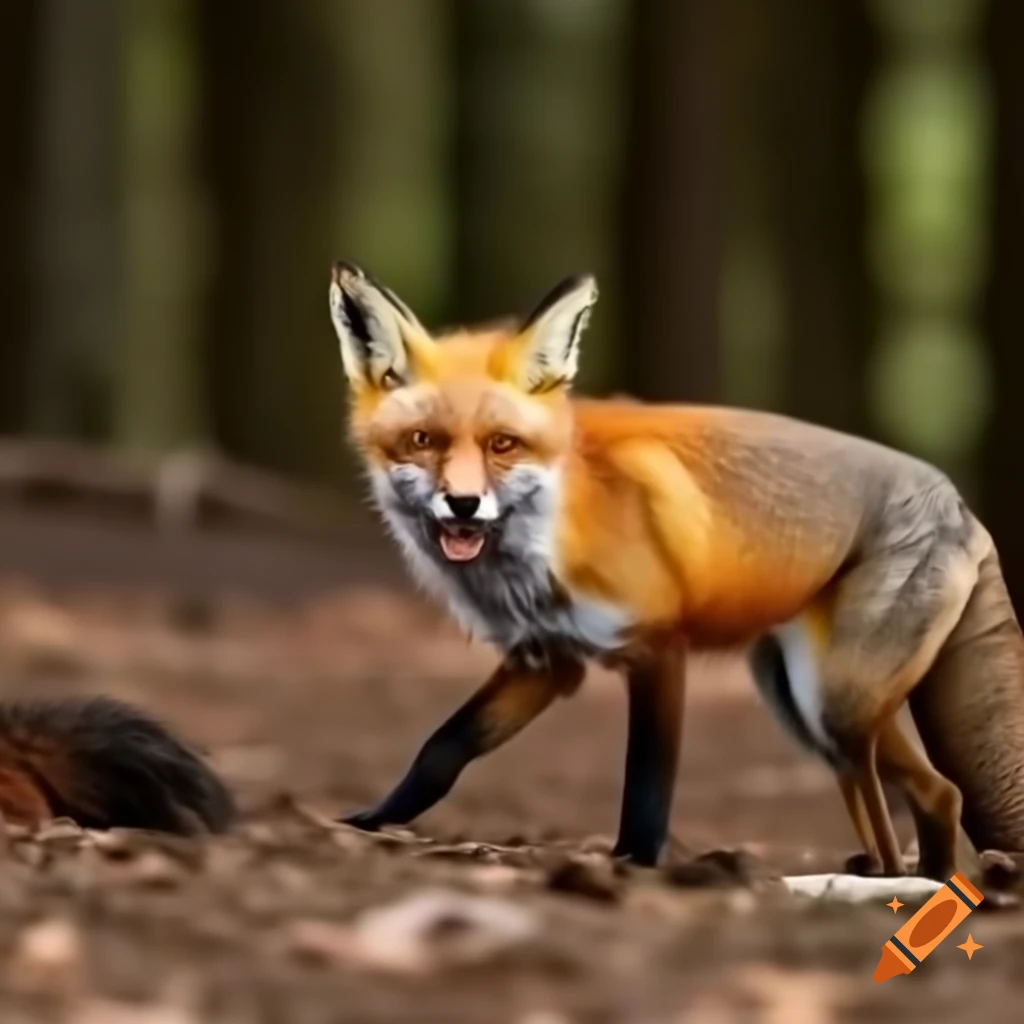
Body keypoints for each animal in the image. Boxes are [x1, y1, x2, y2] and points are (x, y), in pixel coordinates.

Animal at [328, 259, 1024, 881]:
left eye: (503, 445)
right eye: (423, 442)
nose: (464, 504)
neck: (549, 539)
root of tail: (959, 502)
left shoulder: (657, 646)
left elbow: (647, 785)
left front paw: (632, 866)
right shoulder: (545, 660)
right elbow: (440, 751)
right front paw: (368, 822)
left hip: (838, 701)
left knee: (937, 793)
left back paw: (922, 883)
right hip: (804, 705)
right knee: (895, 792)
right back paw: (887, 875)